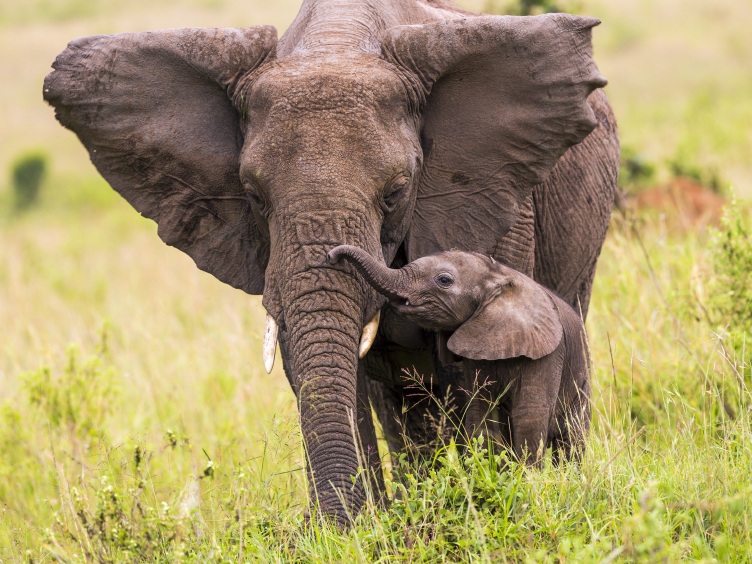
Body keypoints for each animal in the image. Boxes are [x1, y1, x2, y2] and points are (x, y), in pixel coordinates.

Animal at [328, 245, 590, 465]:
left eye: (444, 280)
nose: (331, 256)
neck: (499, 277)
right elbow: (479, 409)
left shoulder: (546, 354)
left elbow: (530, 414)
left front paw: (527, 480)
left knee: (571, 437)